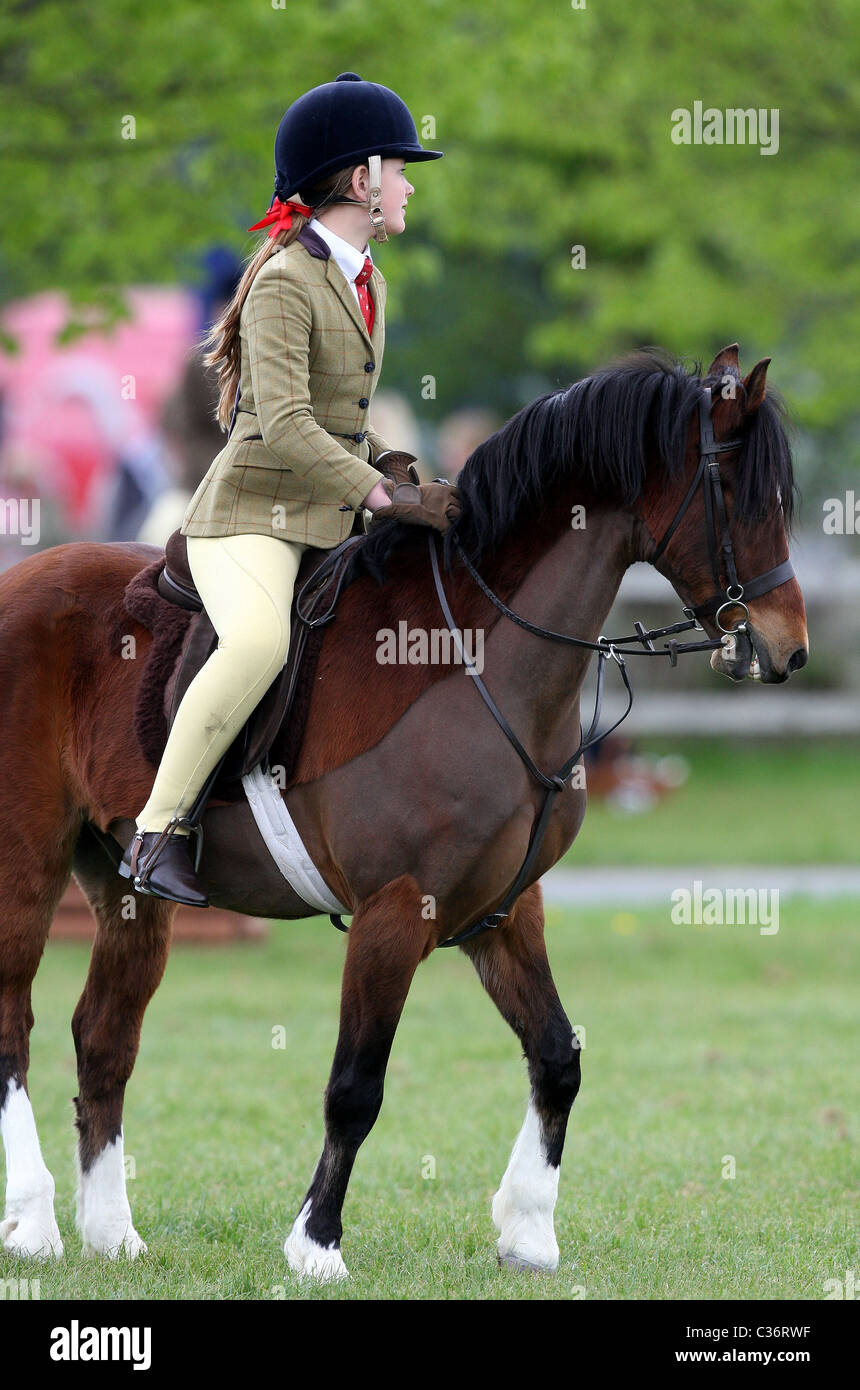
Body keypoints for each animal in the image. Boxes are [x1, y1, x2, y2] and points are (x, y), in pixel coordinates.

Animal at [0, 345, 807, 1281]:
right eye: (748, 500)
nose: (789, 651)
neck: (483, 661)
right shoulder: (395, 910)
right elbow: (357, 1087)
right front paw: (316, 1244)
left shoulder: (505, 910)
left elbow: (557, 1056)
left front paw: (528, 1231)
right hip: (26, 868)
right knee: (14, 1028)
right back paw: (34, 1224)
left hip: (129, 888)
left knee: (104, 1035)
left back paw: (111, 1234)